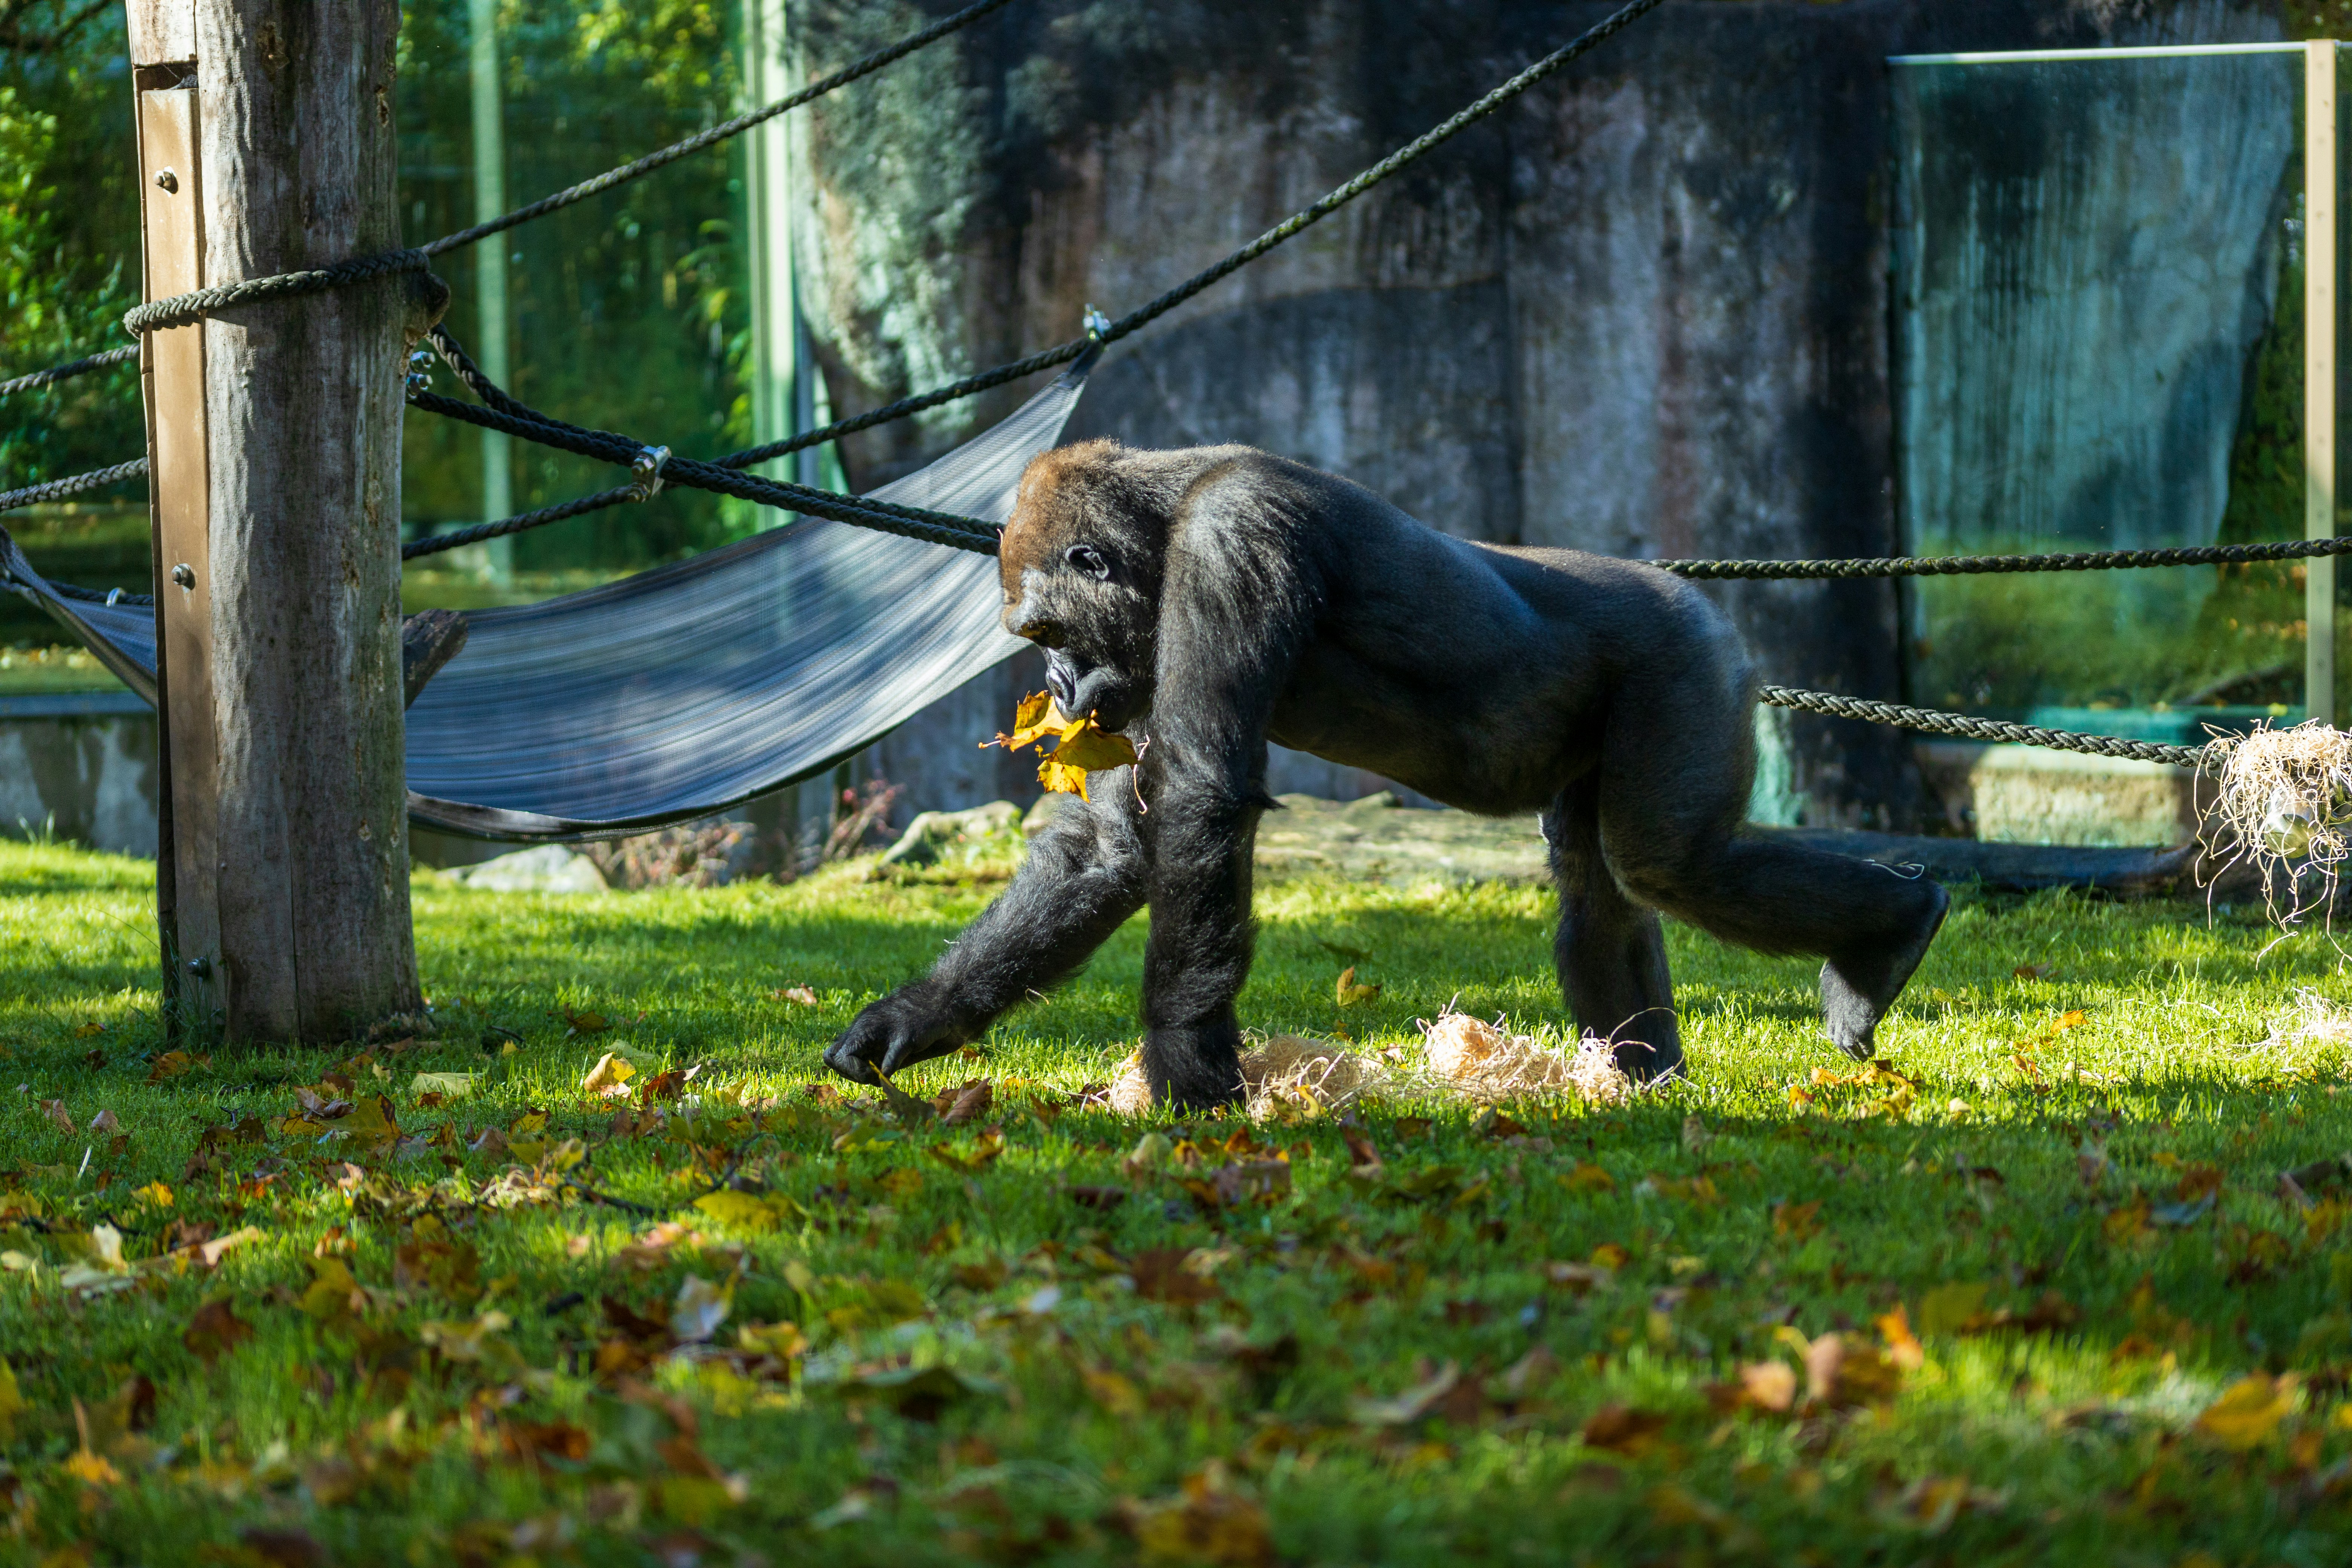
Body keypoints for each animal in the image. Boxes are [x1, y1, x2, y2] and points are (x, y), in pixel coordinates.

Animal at [825, 440, 1949, 1109]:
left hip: (1688, 654)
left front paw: (1186, 1071)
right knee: (1605, 889)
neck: (1169, 509)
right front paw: (909, 1023)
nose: (1058, 688)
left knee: (1670, 860)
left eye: (1050, 633)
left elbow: (1199, 797)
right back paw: (1645, 1078)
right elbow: (1108, 853)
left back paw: (1892, 933)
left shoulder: (1235, 538)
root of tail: (1696, 596)